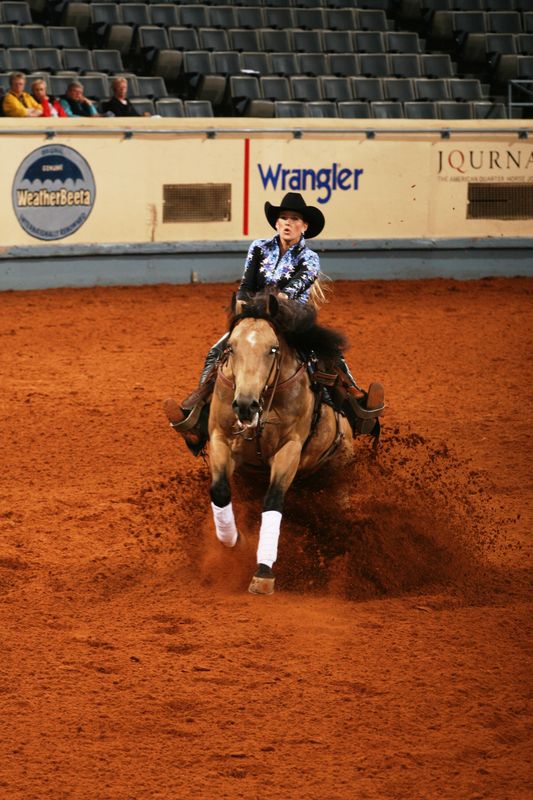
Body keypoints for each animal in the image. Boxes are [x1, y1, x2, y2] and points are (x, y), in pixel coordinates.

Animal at [207, 292, 354, 596]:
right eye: (231, 347)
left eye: (273, 349)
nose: (245, 405)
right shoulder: (220, 439)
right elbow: (220, 491)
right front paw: (234, 541)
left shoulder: (290, 449)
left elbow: (273, 500)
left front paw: (263, 573)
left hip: (340, 474)